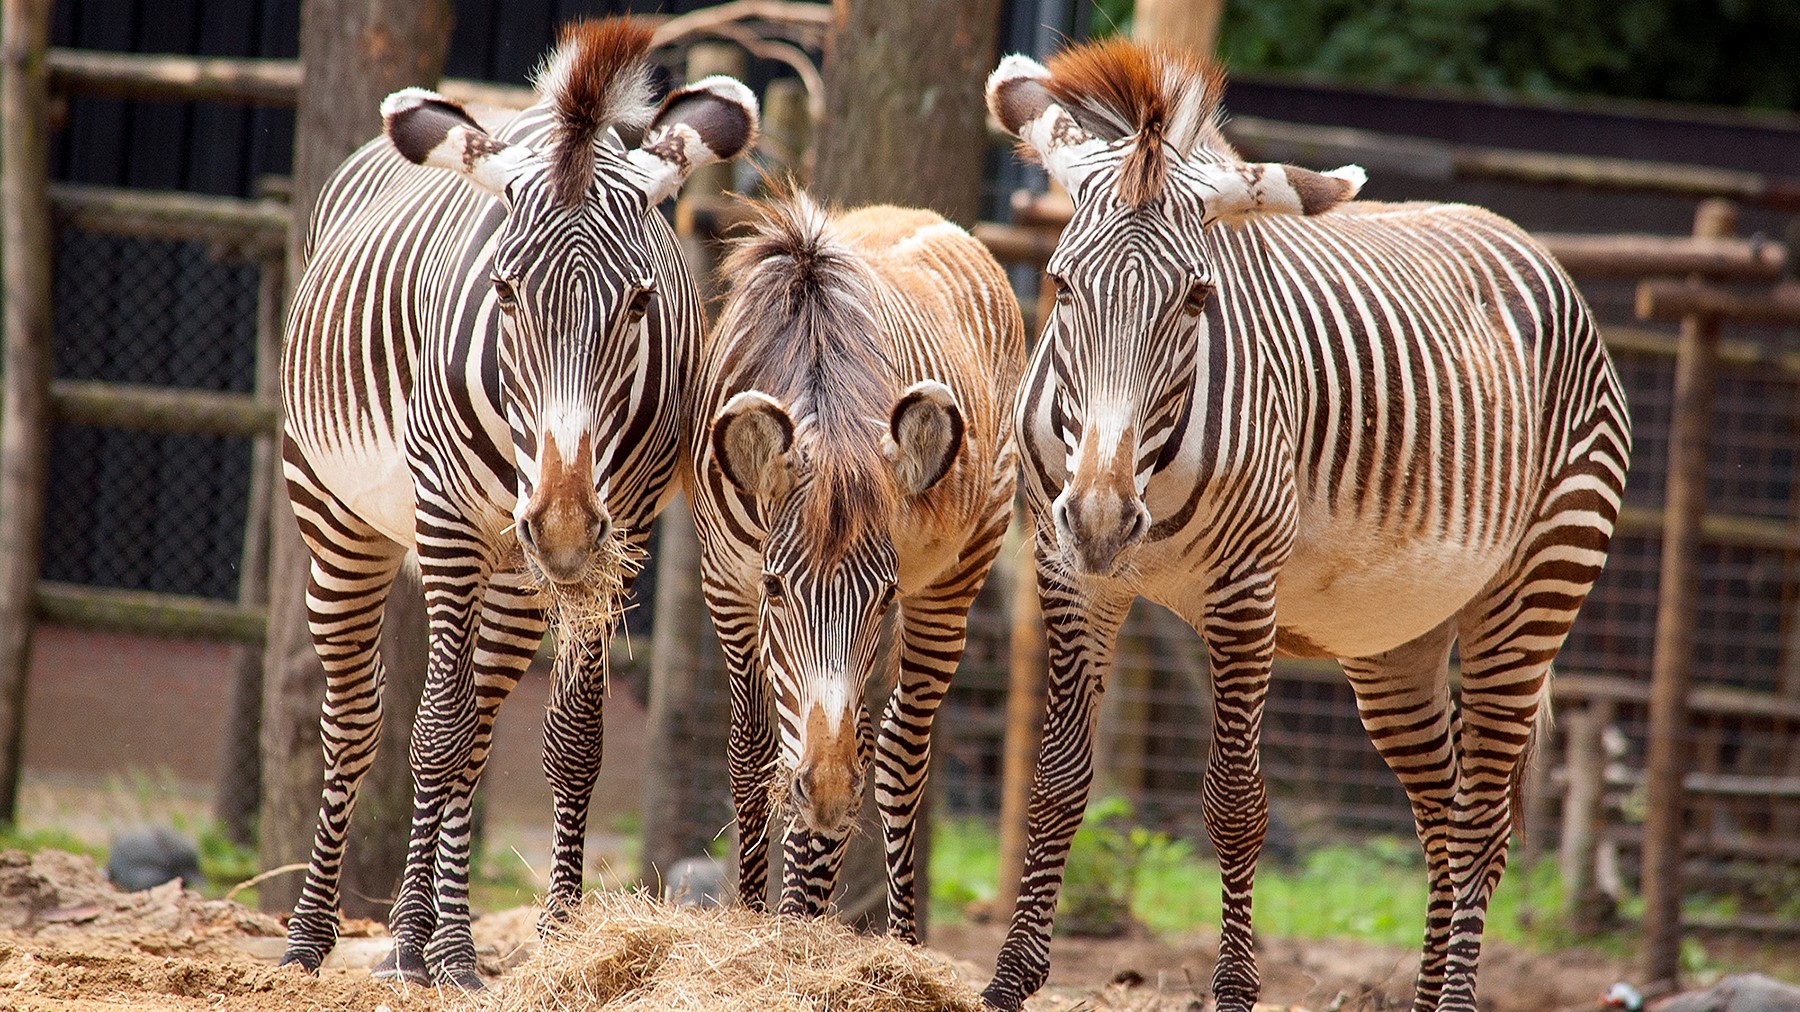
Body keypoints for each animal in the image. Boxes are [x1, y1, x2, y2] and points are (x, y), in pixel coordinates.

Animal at [276, 20, 756, 987]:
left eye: (640, 301)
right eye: (504, 292)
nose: (563, 521)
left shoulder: (620, 540)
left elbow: (571, 739)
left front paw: (557, 934)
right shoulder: (451, 528)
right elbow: (433, 731)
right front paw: (403, 951)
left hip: (512, 576)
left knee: (480, 726)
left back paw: (454, 946)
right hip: (341, 522)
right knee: (358, 721)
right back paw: (315, 937)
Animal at [687, 191, 1024, 941]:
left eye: (886, 594)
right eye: (775, 587)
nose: (831, 791)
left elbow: (839, 758)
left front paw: (792, 931)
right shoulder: (726, 581)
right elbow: (754, 752)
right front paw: (756, 918)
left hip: (961, 575)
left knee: (896, 751)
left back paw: (897, 938)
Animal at [980, 40, 1630, 1012]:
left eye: (1196, 300)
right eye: (1059, 286)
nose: (1101, 515)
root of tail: (1531, 244)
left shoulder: (1244, 591)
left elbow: (1234, 800)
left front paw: (1235, 990)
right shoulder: (1070, 573)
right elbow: (1057, 780)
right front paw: (1009, 981)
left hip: (1535, 590)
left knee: (1483, 819)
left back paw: (1453, 999)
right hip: (1394, 641)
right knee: (1442, 813)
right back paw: (1424, 998)